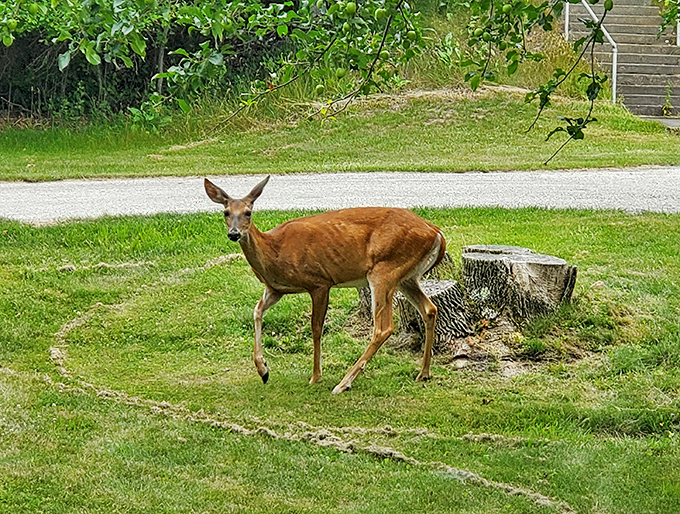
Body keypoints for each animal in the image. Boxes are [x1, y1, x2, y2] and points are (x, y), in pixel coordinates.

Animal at [204, 175, 446, 393]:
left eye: (248, 212)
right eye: (226, 212)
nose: (234, 234)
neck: (273, 251)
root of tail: (437, 232)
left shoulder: (319, 282)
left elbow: (316, 328)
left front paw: (315, 376)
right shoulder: (276, 289)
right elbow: (256, 311)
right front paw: (263, 371)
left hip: (384, 270)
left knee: (383, 327)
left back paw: (343, 383)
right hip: (406, 277)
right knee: (430, 309)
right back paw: (424, 373)